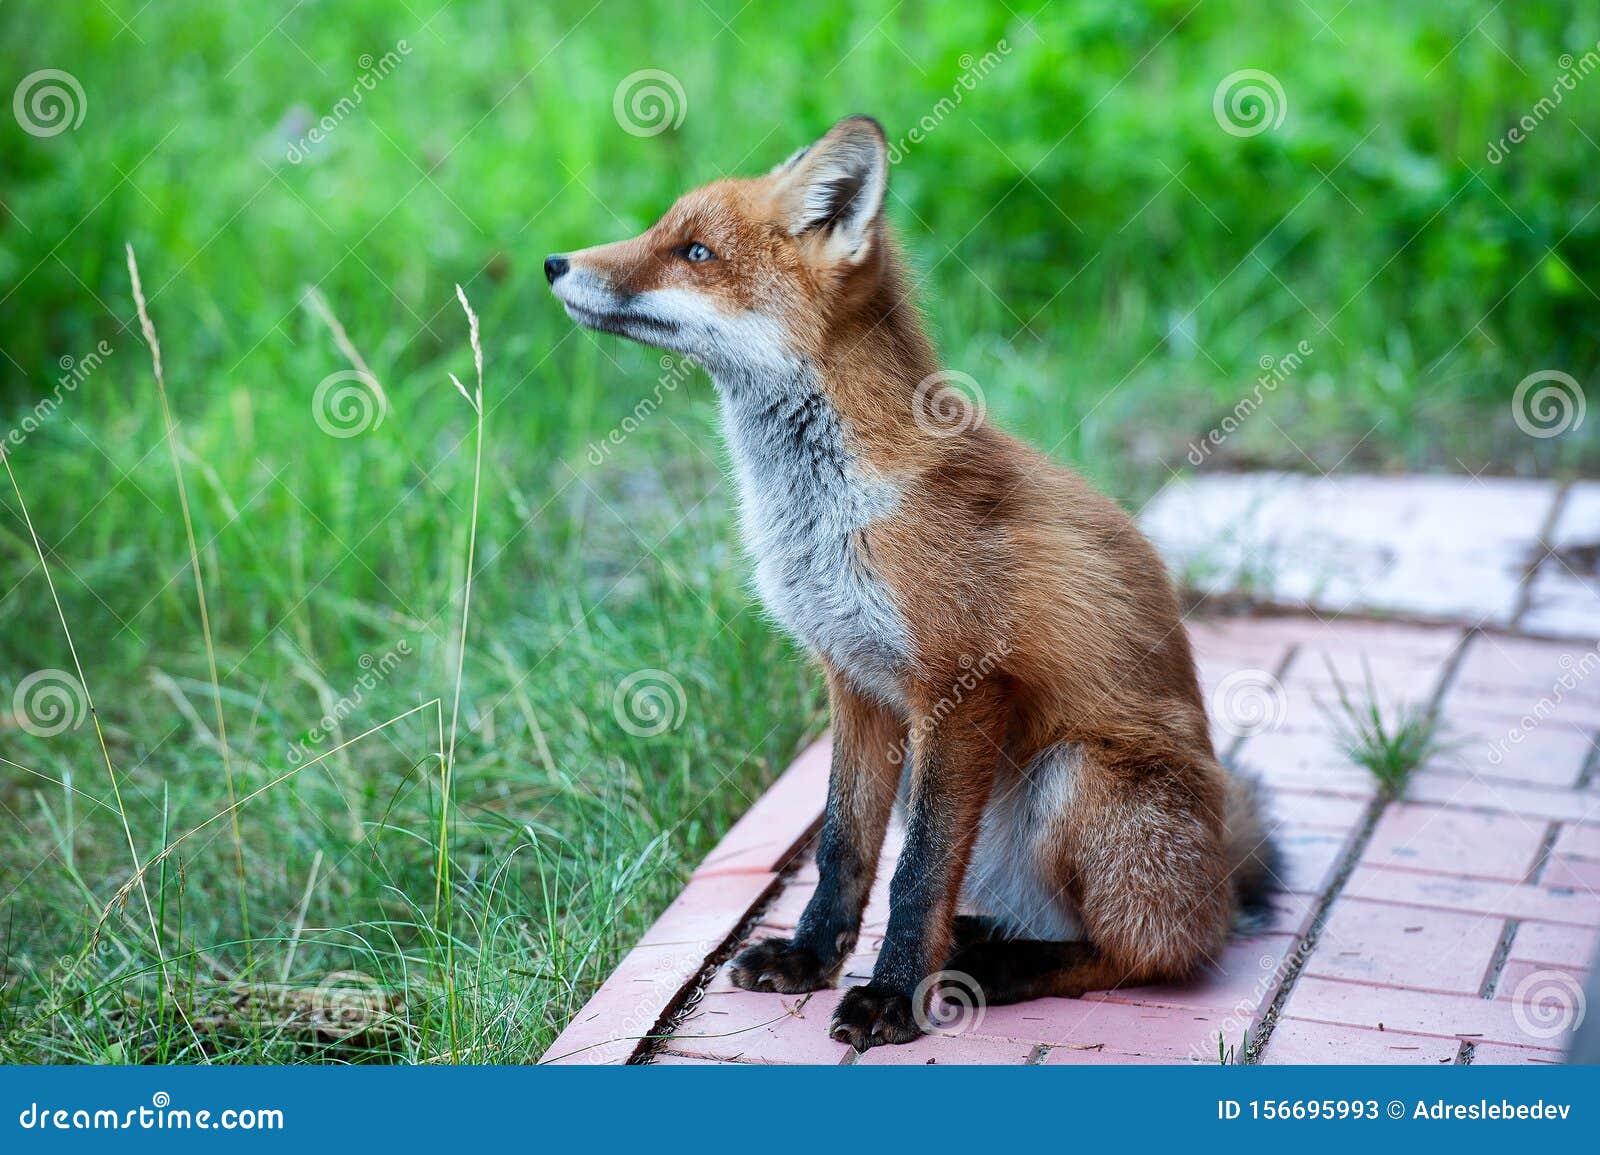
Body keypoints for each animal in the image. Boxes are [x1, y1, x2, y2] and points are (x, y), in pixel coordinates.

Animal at [546, 115, 1278, 1051]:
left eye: (695, 252)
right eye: (661, 231)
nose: (554, 262)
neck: (824, 511)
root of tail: (1221, 879)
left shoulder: (959, 686)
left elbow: (918, 873)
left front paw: (890, 995)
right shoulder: (853, 679)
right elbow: (842, 848)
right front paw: (810, 957)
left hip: (1075, 776)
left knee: (1146, 952)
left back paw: (999, 966)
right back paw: (979, 937)